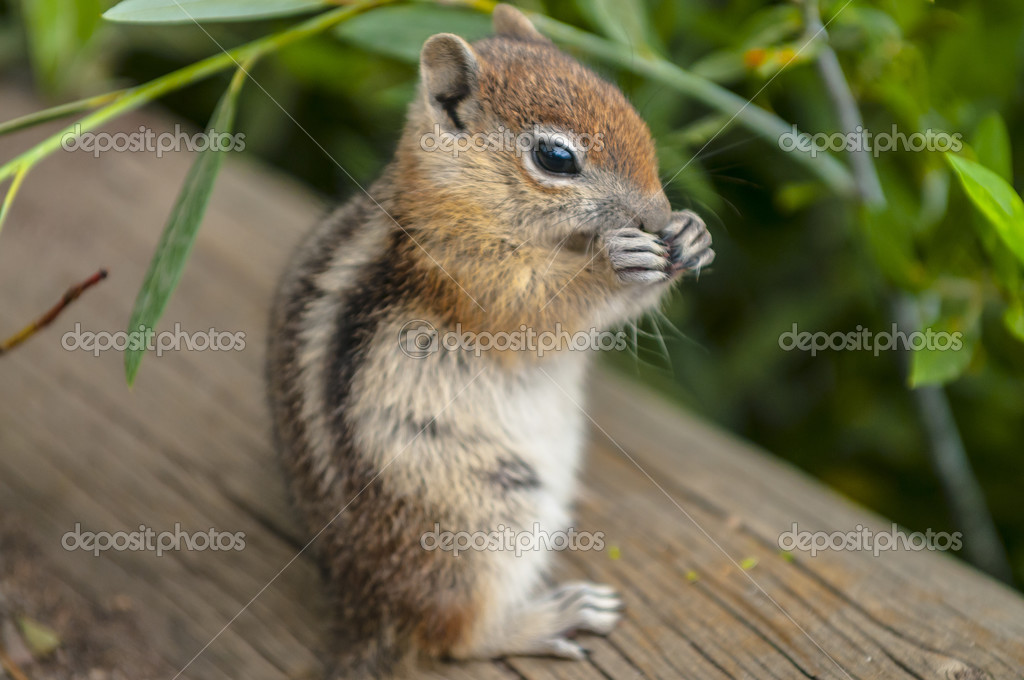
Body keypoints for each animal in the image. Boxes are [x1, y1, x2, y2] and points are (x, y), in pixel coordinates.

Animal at [267, 4, 714, 678]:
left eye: (630, 112)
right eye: (556, 158)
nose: (658, 219)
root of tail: (364, 609)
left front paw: (691, 234)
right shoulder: (471, 276)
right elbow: (547, 306)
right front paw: (620, 263)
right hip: (481, 522)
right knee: (452, 635)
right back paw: (548, 616)